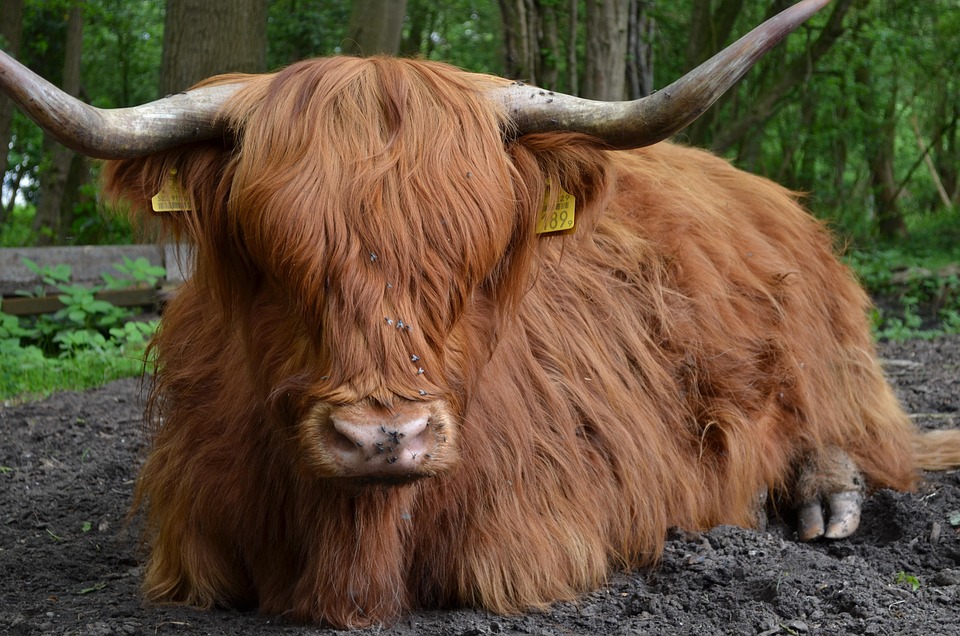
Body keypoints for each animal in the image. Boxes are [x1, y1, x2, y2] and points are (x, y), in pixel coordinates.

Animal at [3, 0, 959, 628]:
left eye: (471, 256)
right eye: (269, 253)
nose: (385, 436)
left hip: (821, 349)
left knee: (847, 426)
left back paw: (825, 497)